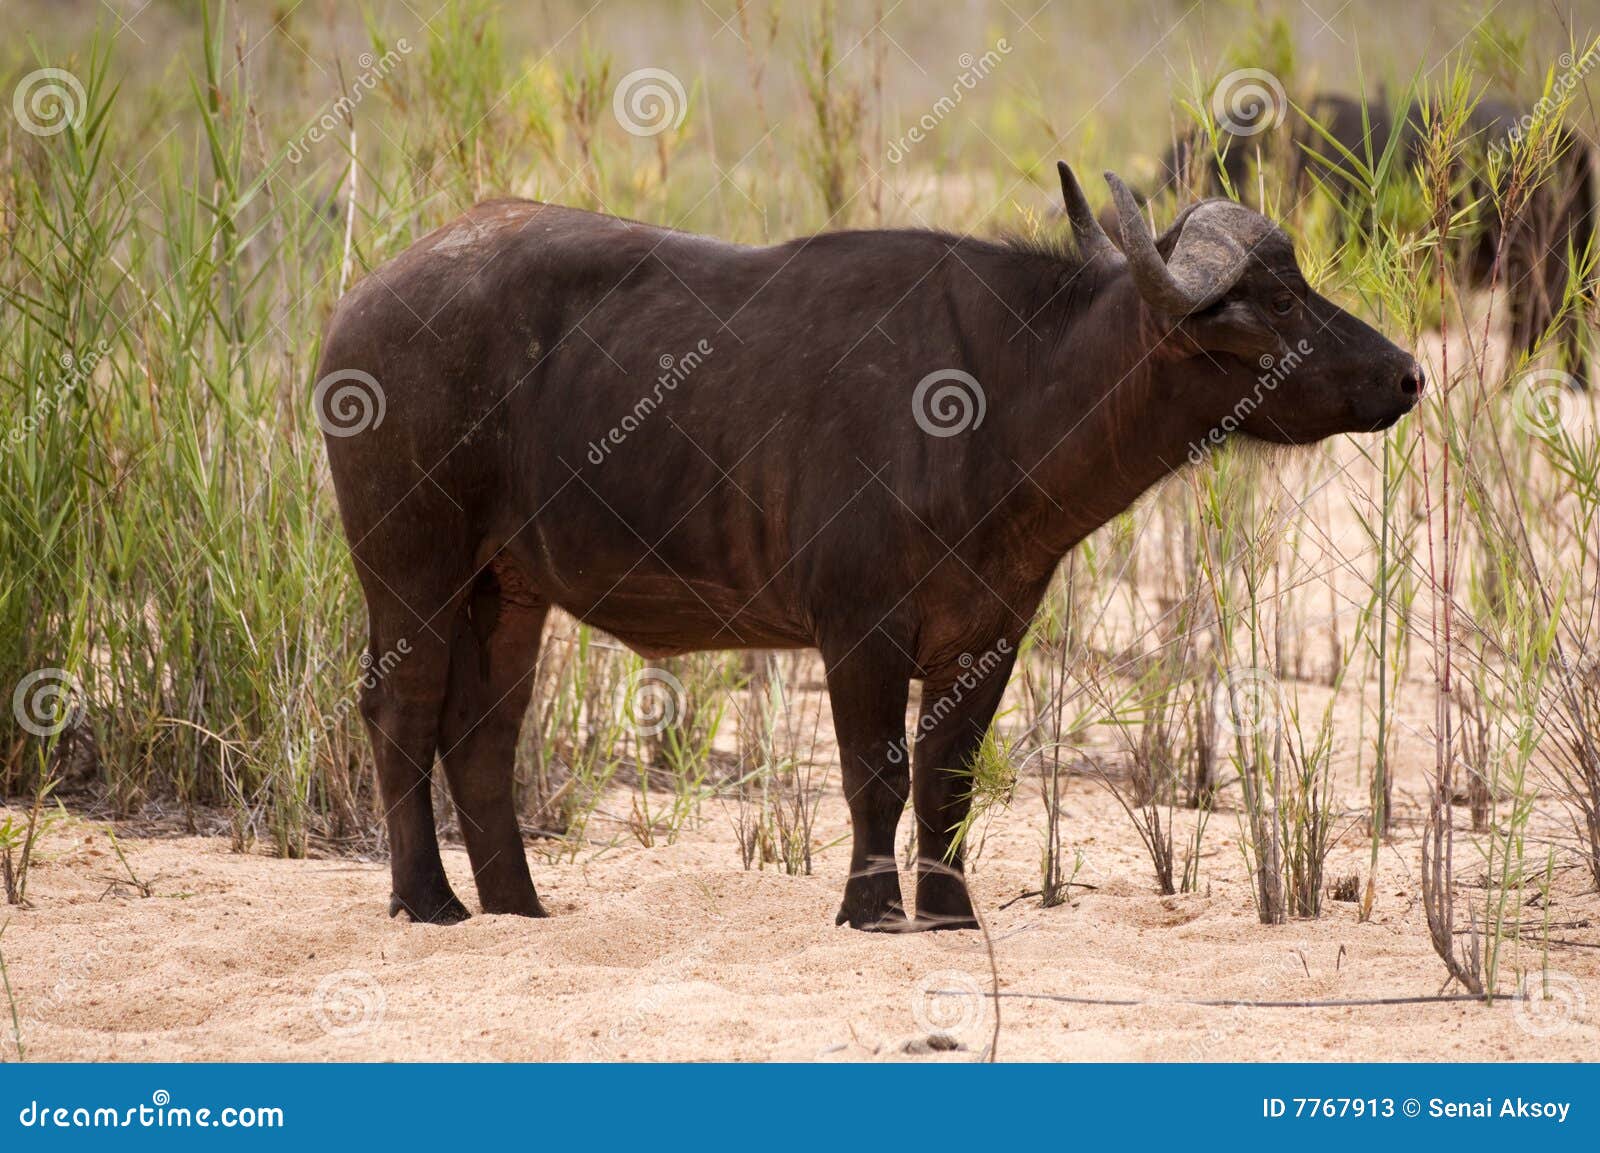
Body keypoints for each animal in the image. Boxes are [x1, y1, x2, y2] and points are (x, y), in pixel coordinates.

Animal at [317, 162, 1421, 931]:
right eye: (1281, 301)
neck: (1003, 396)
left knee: (482, 734)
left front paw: (949, 911)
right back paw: (428, 900)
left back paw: (516, 905)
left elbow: (946, 778)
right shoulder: (858, 631)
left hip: (508, 588)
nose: (1407, 374)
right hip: (410, 568)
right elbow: (875, 775)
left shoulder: (991, 633)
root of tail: (363, 306)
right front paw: (870, 907)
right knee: (401, 711)